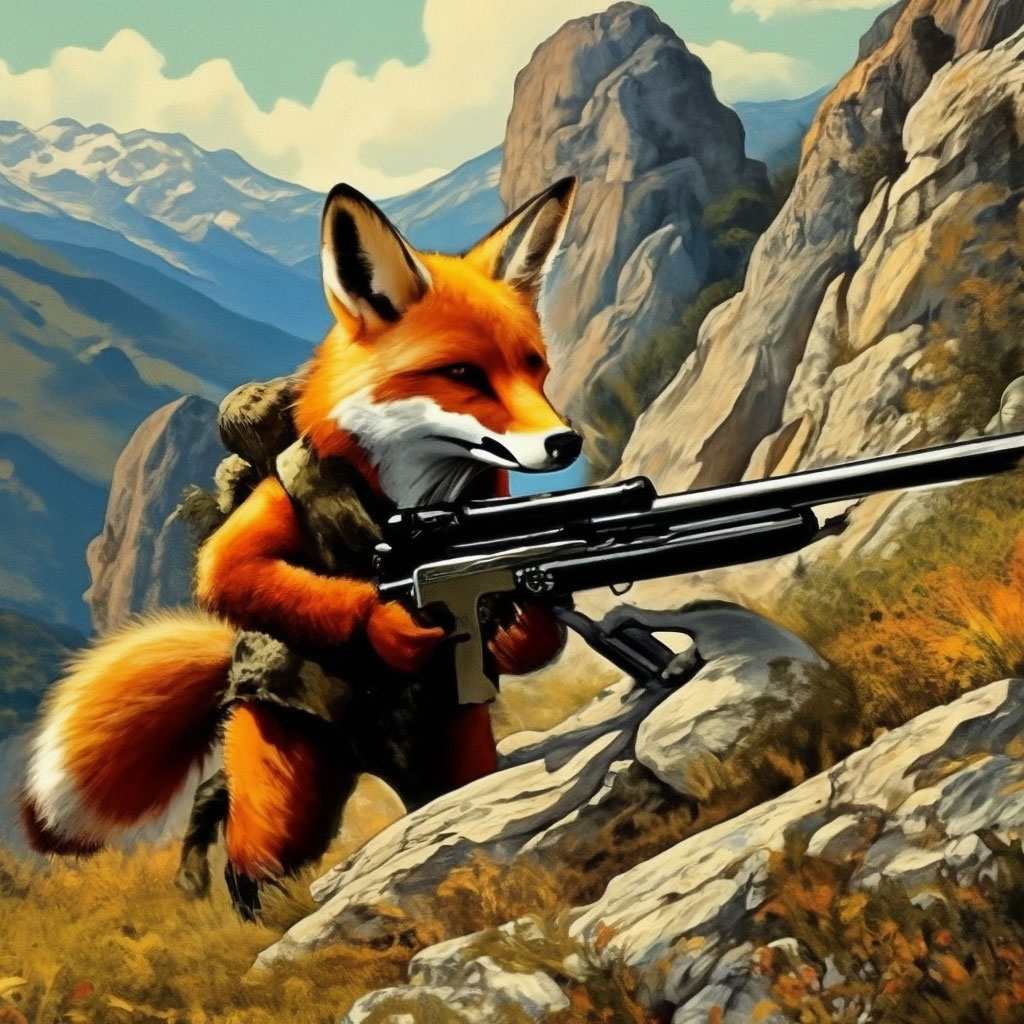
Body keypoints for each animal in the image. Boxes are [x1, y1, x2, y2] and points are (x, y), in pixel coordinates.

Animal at [20, 175, 581, 913]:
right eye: (462, 373)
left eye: (535, 367)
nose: (566, 443)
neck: (413, 493)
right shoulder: (284, 490)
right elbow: (233, 569)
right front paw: (391, 624)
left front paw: (528, 624)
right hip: (287, 780)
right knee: (245, 829)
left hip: (447, 754)